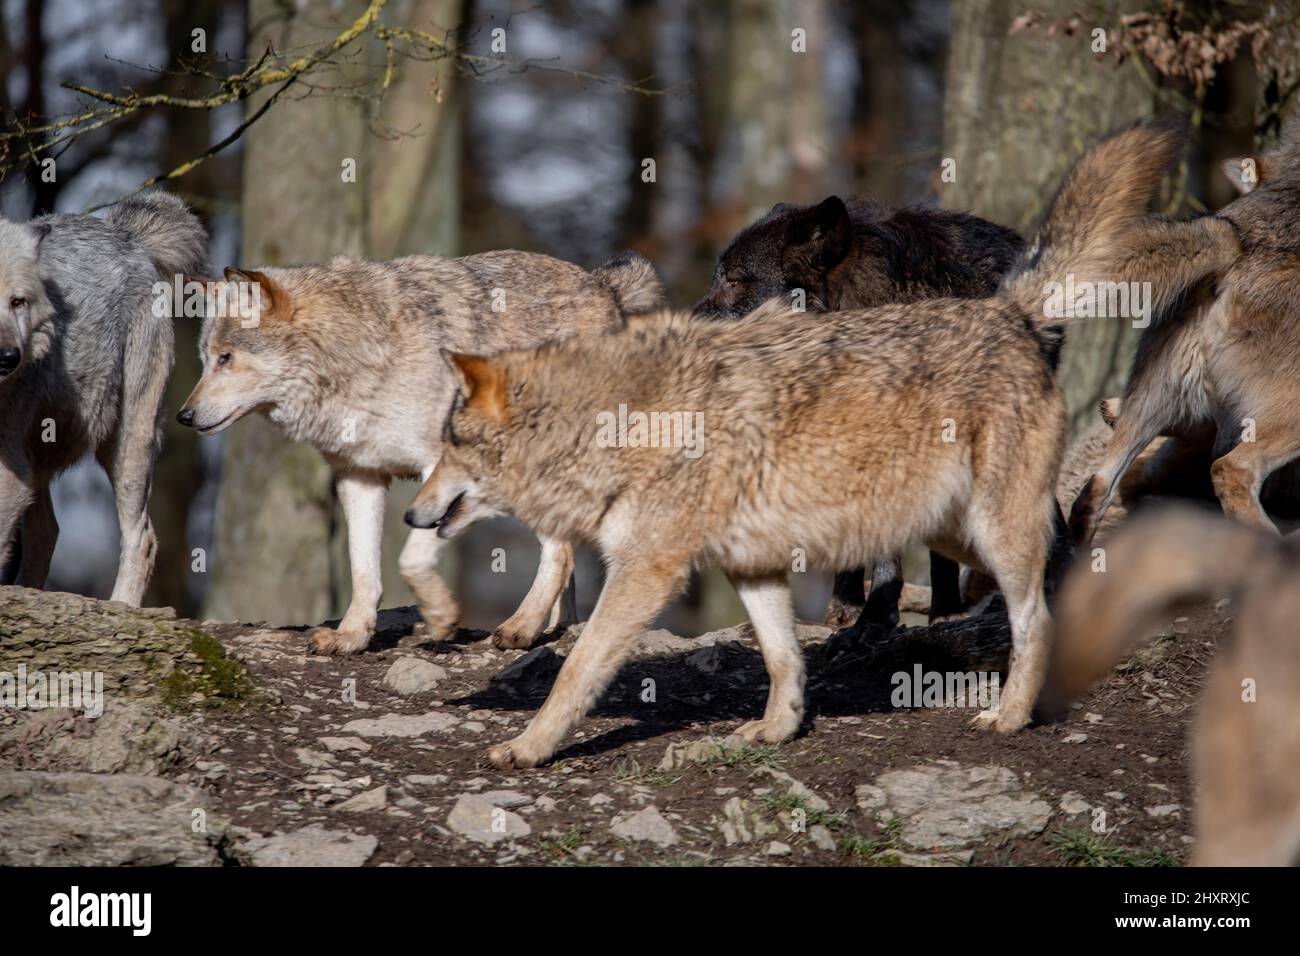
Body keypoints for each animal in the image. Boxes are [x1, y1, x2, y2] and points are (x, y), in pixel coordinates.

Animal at [0, 191, 207, 605]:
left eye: (18, 302)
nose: (9, 358)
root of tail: (124, 232)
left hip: (125, 446)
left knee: (142, 537)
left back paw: (123, 607)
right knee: (49, 532)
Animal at [177, 250, 663, 655]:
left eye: (226, 358)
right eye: (204, 359)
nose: (183, 415)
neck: (354, 355)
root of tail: (603, 285)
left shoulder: (439, 471)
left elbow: (410, 558)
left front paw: (442, 618)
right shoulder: (358, 478)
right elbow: (364, 571)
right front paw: (351, 636)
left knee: (560, 554)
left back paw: (522, 627)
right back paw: (550, 627)